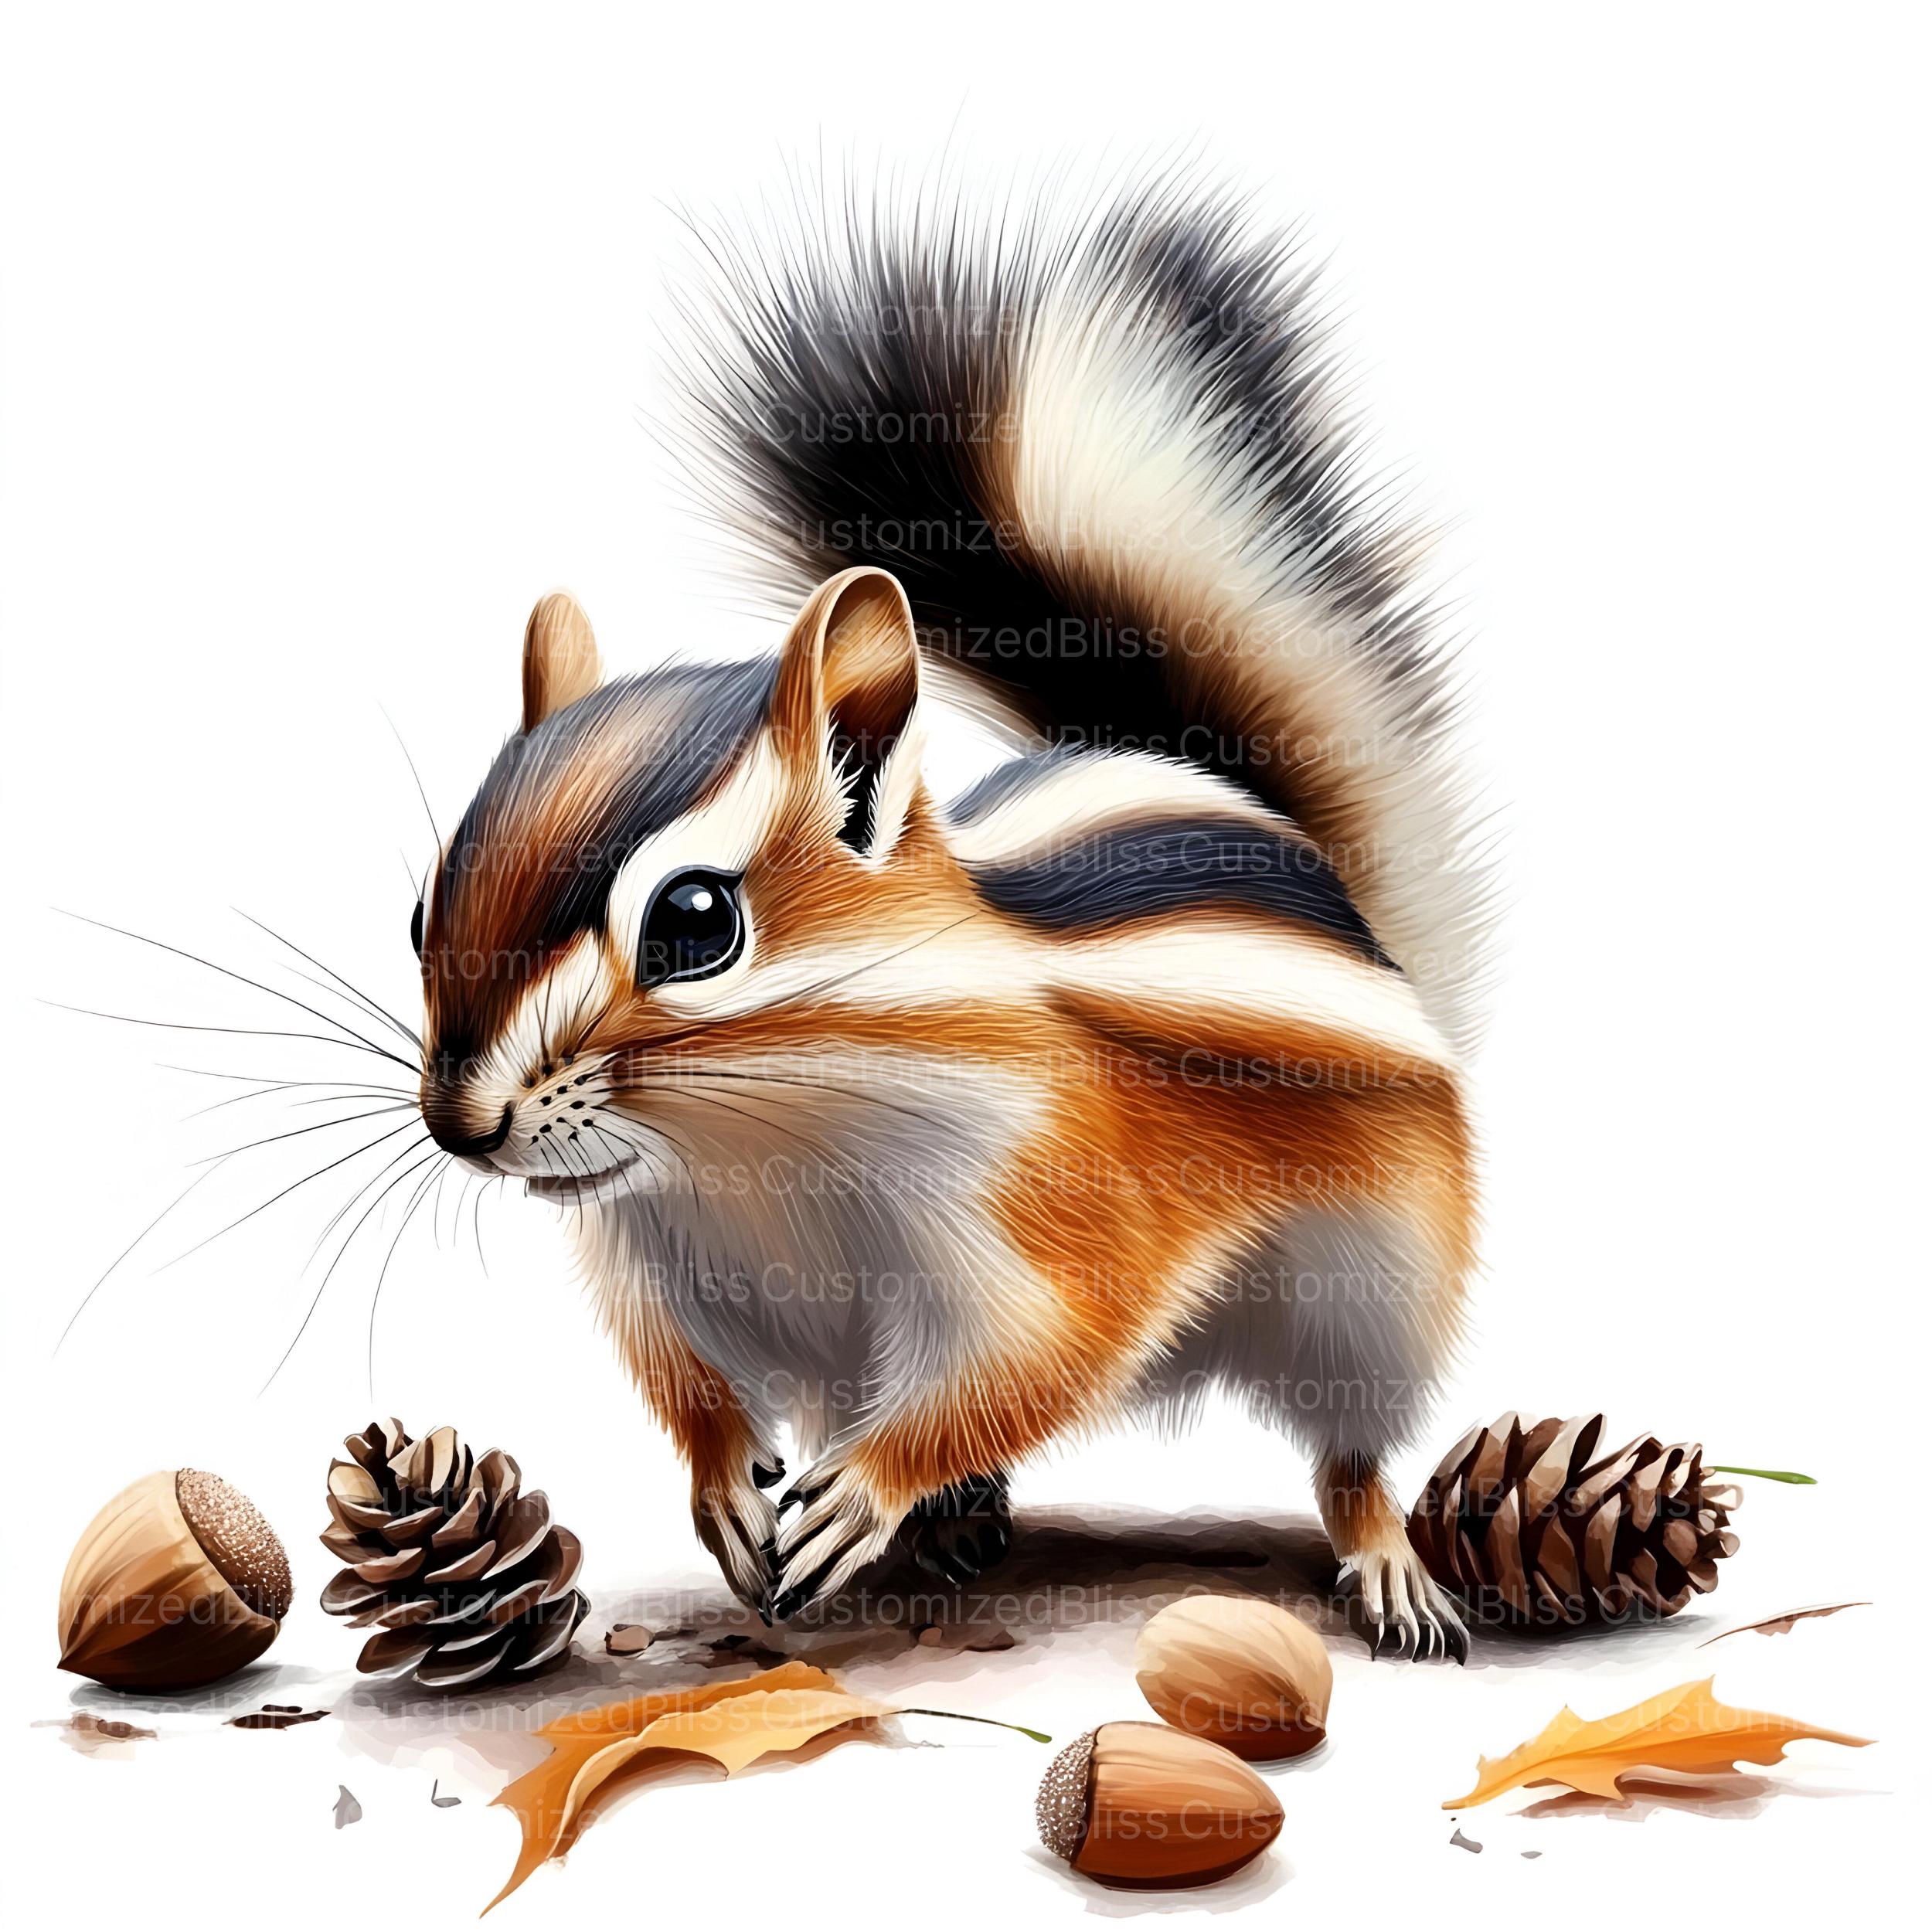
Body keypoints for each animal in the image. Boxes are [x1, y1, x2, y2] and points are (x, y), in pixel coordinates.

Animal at [415, 178, 1489, 1657]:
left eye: (694, 923)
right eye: (422, 906)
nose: (459, 1125)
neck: (757, 1145)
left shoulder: (1052, 1210)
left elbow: (1044, 1348)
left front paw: (868, 1489)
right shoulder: (667, 1270)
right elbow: (690, 1387)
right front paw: (728, 1491)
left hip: (1371, 1287)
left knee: (1354, 1444)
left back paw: (1383, 1561)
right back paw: (959, 1527)